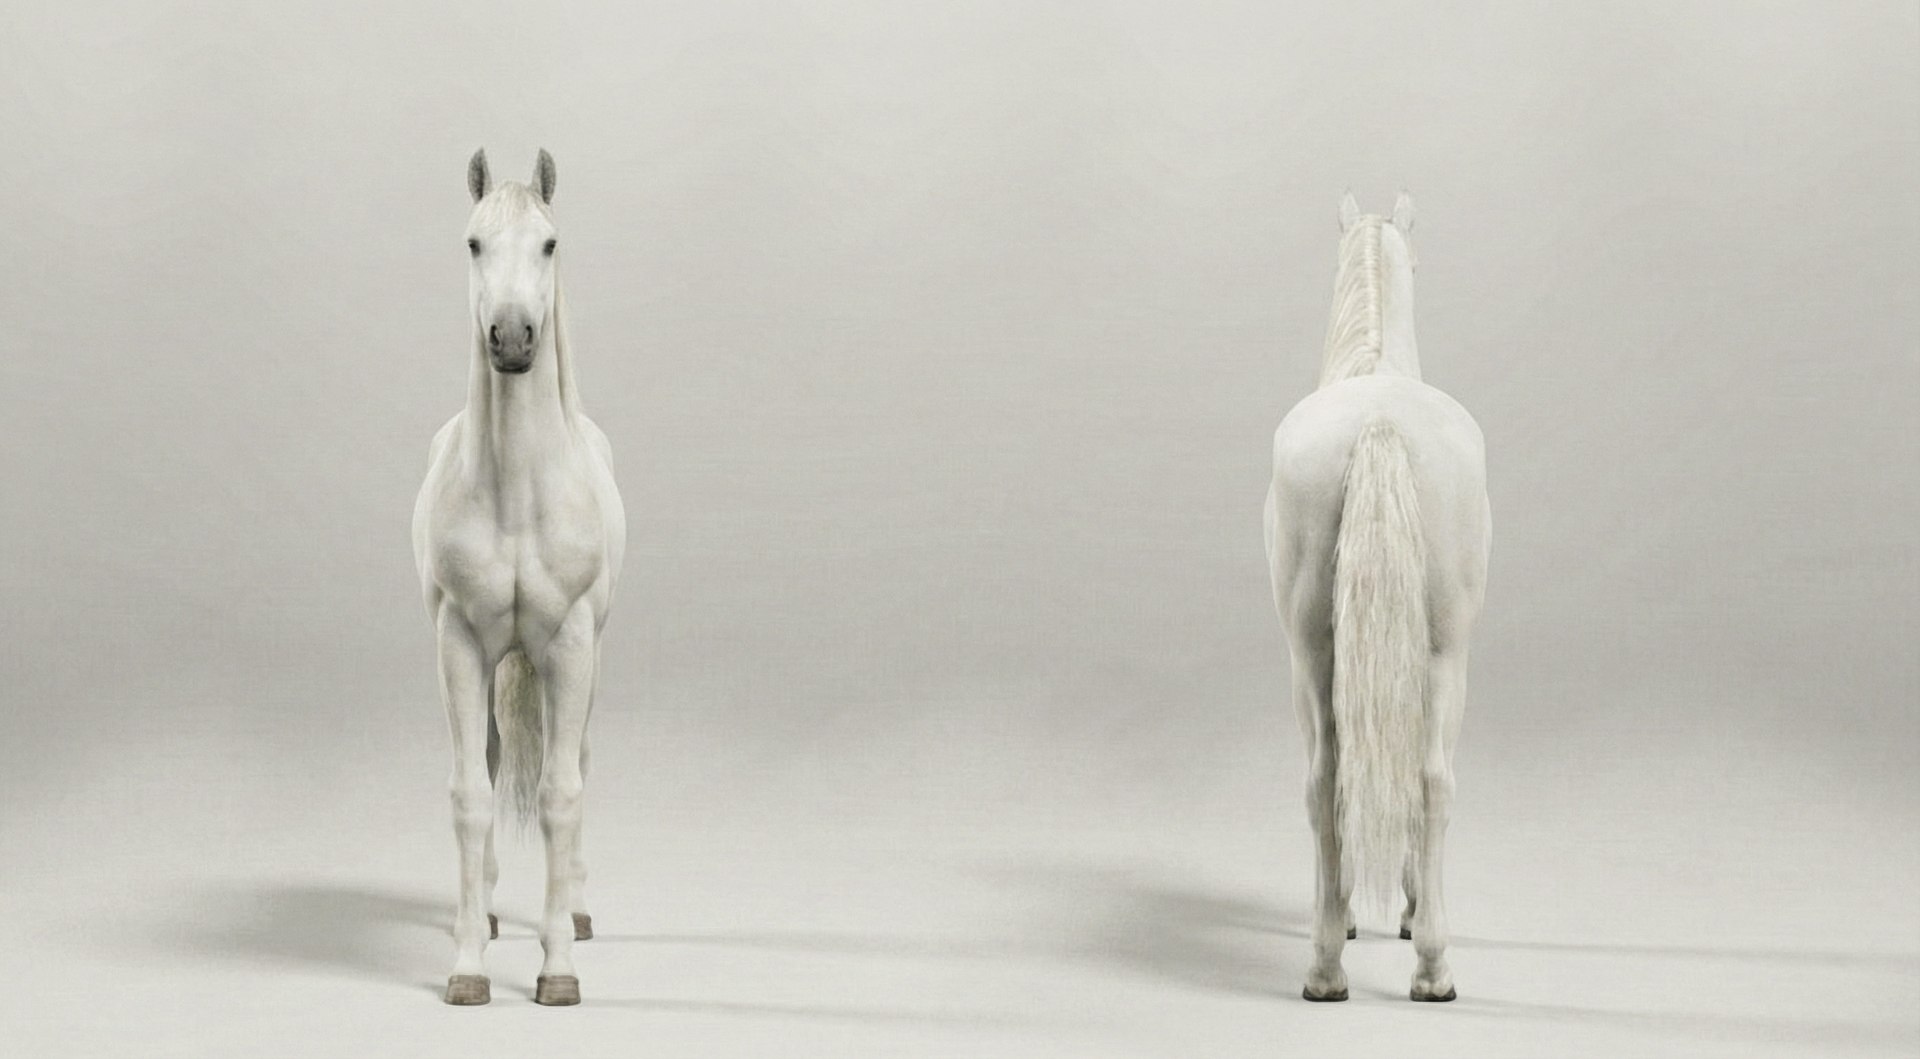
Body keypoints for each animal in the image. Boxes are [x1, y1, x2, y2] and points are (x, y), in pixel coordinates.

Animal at [411, 148, 626, 1006]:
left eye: (549, 243)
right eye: (474, 242)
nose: (510, 337)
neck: (516, 491)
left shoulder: (568, 646)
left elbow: (561, 794)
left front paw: (558, 967)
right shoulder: (460, 644)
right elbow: (471, 793)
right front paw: (470, 963)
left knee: (581, 766)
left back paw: (580, 911)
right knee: (496, 758)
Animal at [1264, 192, 1490, 1003]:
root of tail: (1379, 421)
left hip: (1318, 651)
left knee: (1350, 780)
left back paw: (1352, 959)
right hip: (1438, 652)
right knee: (1412, 781)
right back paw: (1407, 964)